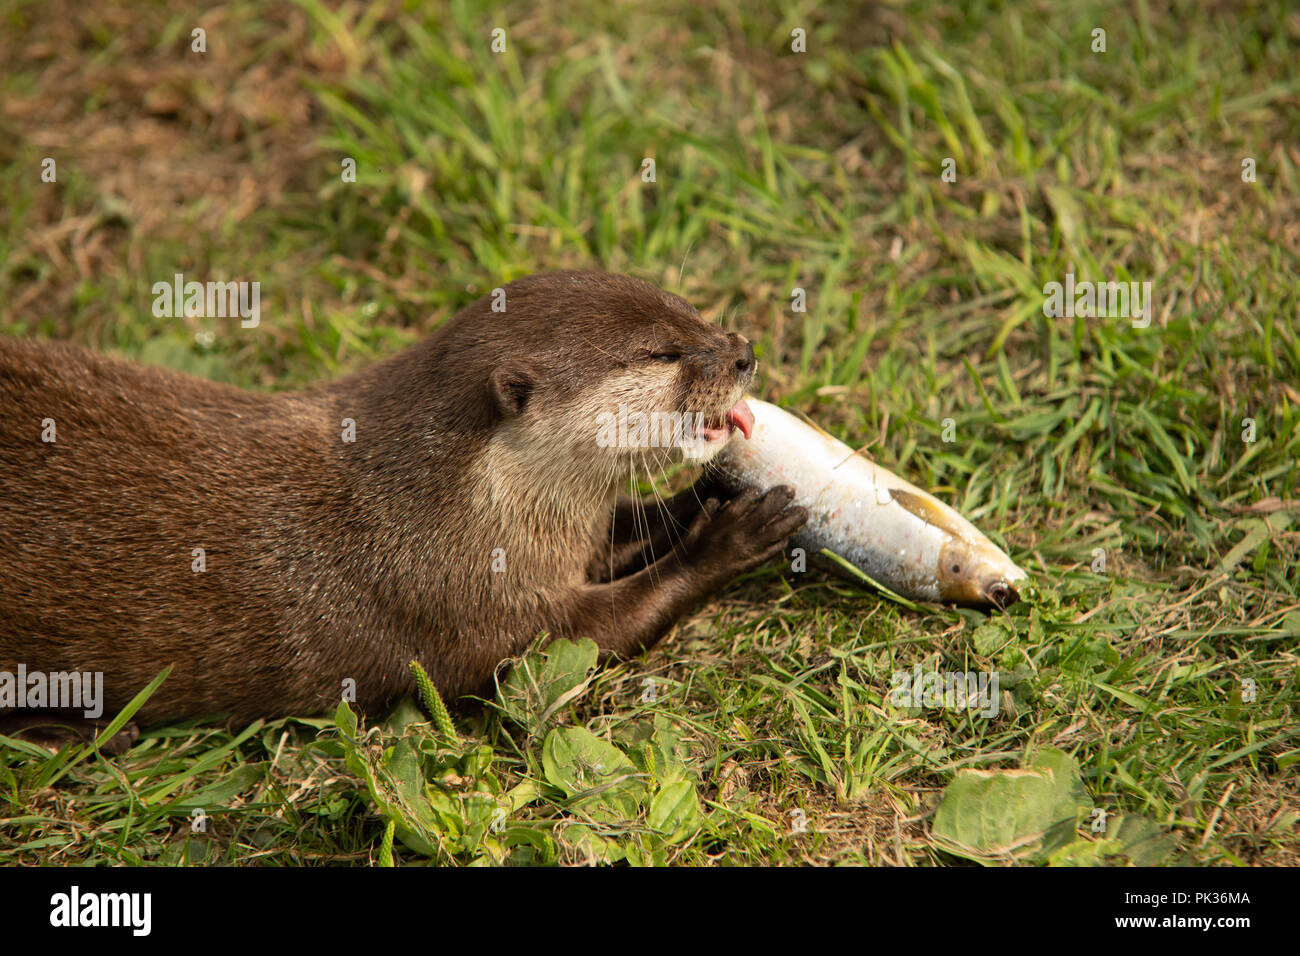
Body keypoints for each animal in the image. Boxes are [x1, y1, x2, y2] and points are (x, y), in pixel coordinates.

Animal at [0, 271, 807, 739]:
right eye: (661, 354)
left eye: (692, 313)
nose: (743, 352)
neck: (439, 513)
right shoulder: (458, 607)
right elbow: (607, 628)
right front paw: (732, 536)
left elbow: (616, 536)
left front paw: (708, 493)